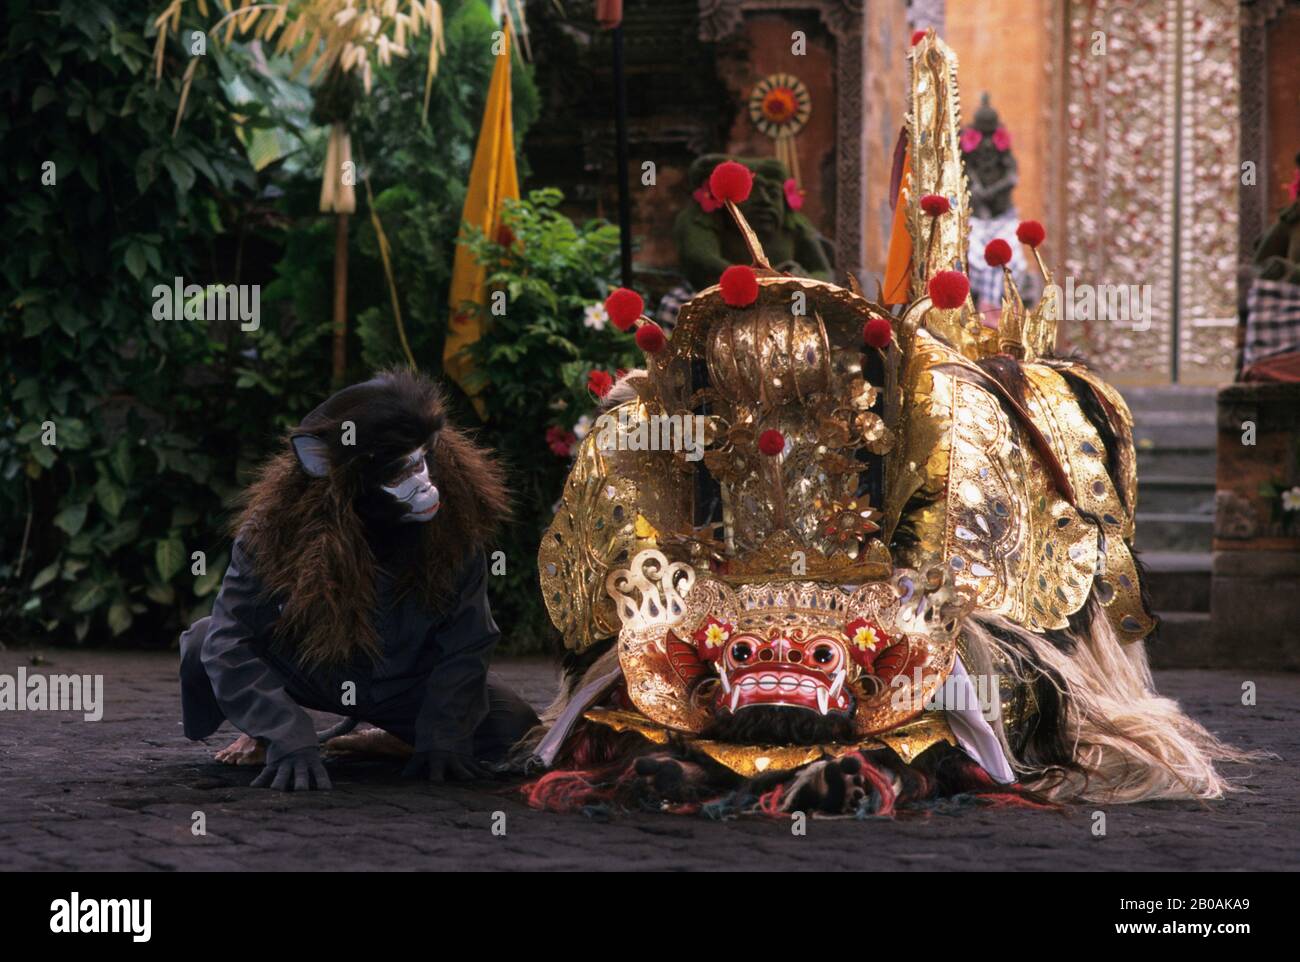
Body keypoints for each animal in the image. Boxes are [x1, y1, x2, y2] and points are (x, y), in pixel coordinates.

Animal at [178, 369, 538, 790]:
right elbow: (232, 638)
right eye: (402, 469)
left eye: (426, 459)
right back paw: (257, 745)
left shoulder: (463, 542)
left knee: (509, 719)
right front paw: (294, 751)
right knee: (204, 639)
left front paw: (442, 754)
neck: (373, 527)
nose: (429, 485)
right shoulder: (256, 541)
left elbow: (466, 641)